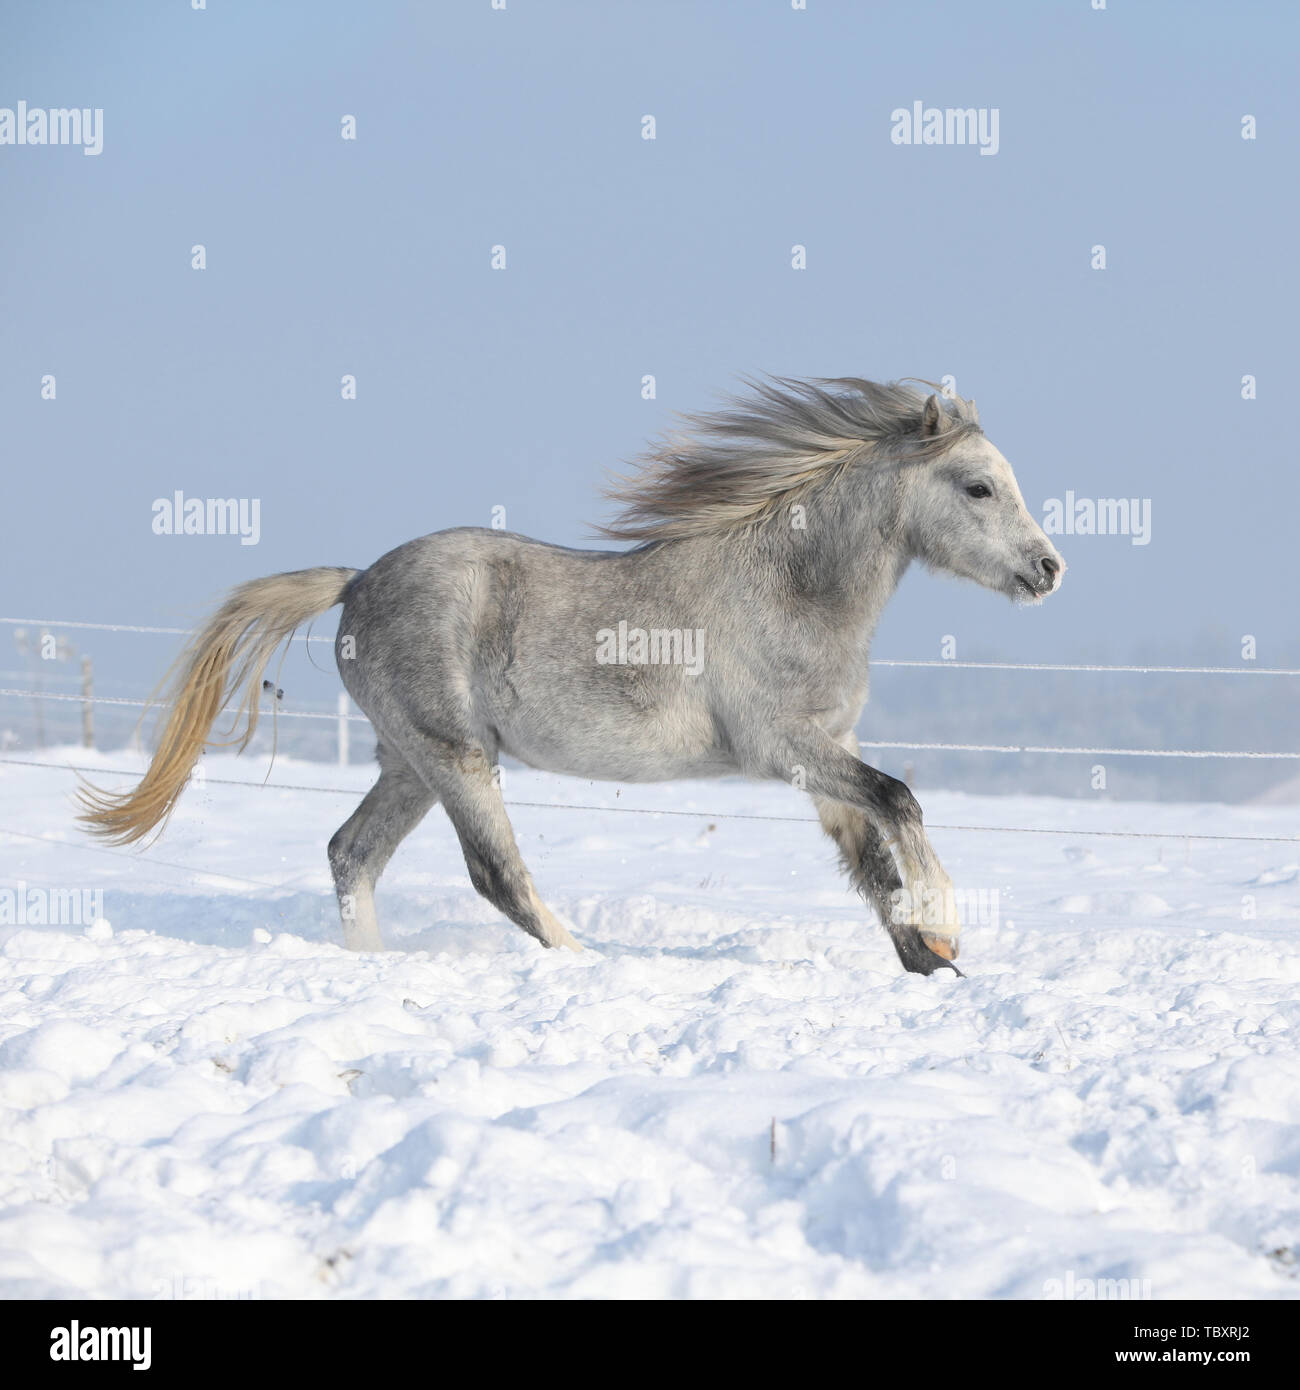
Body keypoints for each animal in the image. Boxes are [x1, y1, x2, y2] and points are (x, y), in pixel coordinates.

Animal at [80, 377, 1064, 975]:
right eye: (978, 486)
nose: (1049, 569)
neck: (789, 585)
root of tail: (356, 581)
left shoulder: (826, 751)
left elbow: (873, 859)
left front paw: (927, 953)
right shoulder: (782, 746)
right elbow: (902, 800)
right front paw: (946, 926)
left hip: (411, 763)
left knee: (350, 852)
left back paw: (374, 962)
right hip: (457, 759)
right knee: (497, 875)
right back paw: (587, 960)